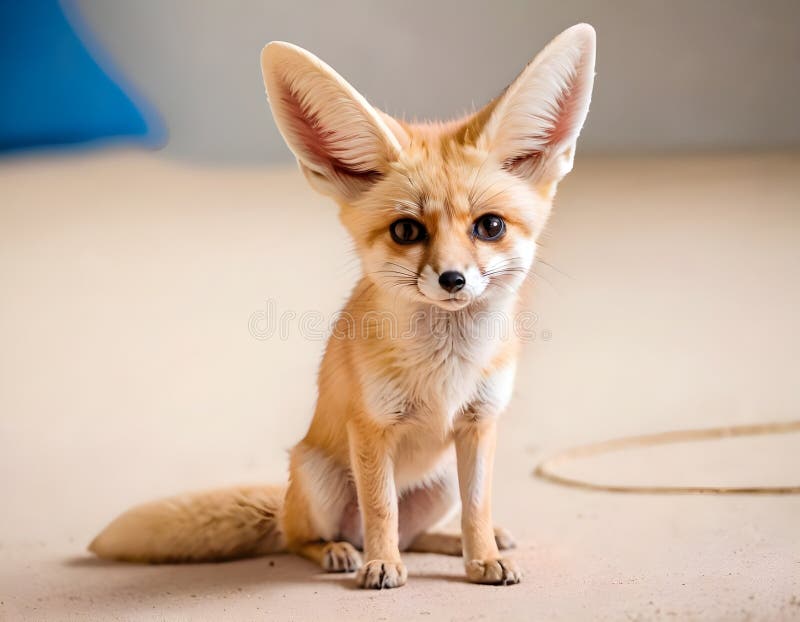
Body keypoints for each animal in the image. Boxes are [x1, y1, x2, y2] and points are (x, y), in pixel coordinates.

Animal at [89, 24, 596, 589]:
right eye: (406, 231)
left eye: (490, 226)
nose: (452, 279)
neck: (446, 368)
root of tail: (285, 504)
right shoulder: (370, 427)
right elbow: (380, 510)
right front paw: (382, 566)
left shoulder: (478, 423)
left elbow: (477, 508)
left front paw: (481, 558)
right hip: (322, 480)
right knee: (306, 539)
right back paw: (342, 552)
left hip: (439, 481)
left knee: (419, 533)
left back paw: (455, 545)